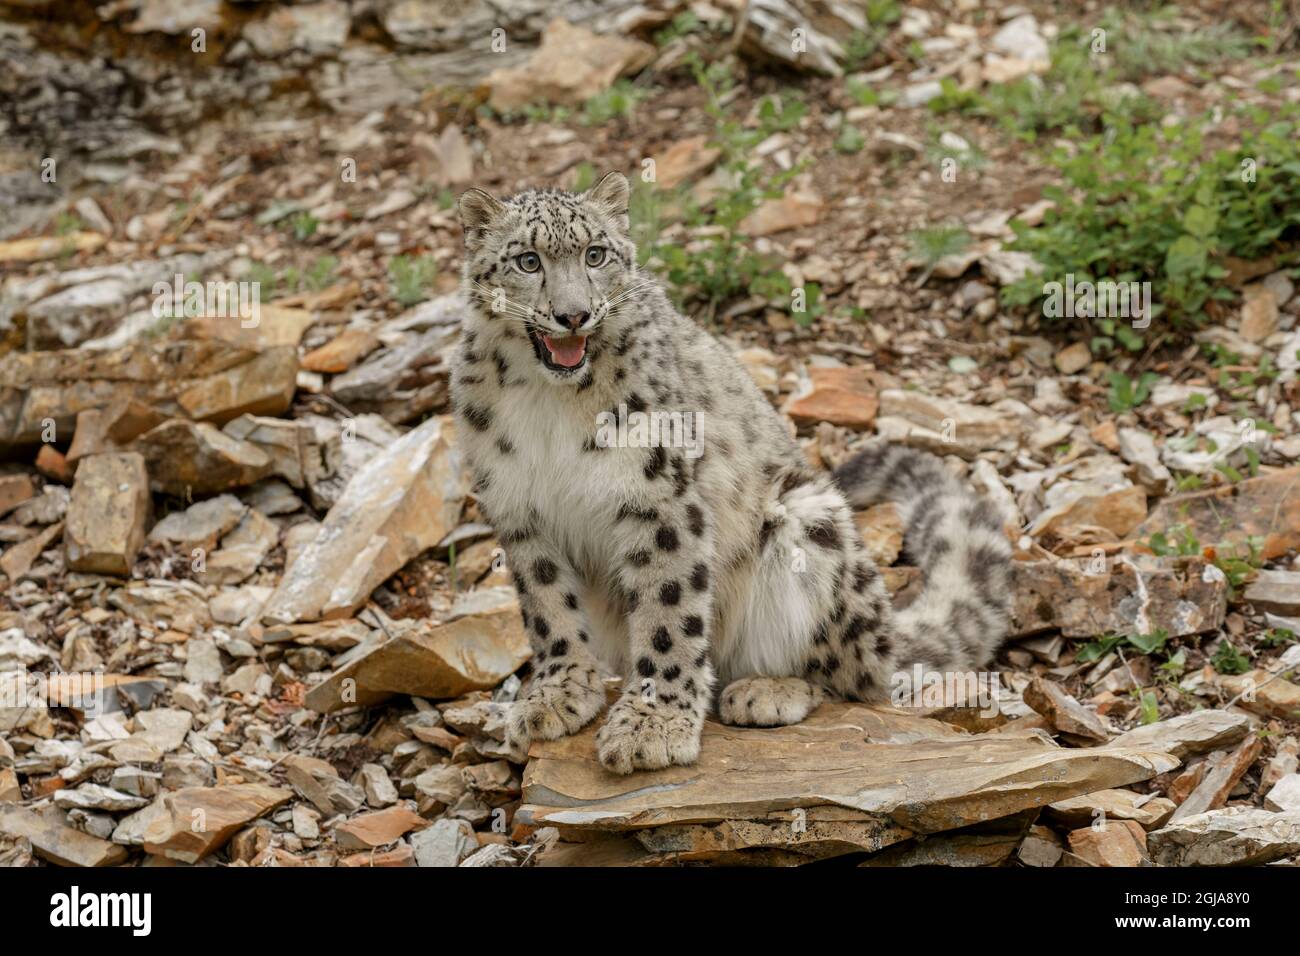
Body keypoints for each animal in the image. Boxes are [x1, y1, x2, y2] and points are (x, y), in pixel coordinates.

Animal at [450, 171, 1012, 774]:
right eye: (528, 260)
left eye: (595, 254)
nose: (573, 315)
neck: (548, 400)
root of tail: (886, 630)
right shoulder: (520, 509)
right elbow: (549, 607)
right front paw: (557, 695)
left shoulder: (659, 496)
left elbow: (669, 611)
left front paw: (653, 726)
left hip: (812, 517)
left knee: (856, 678)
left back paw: (767, 691)